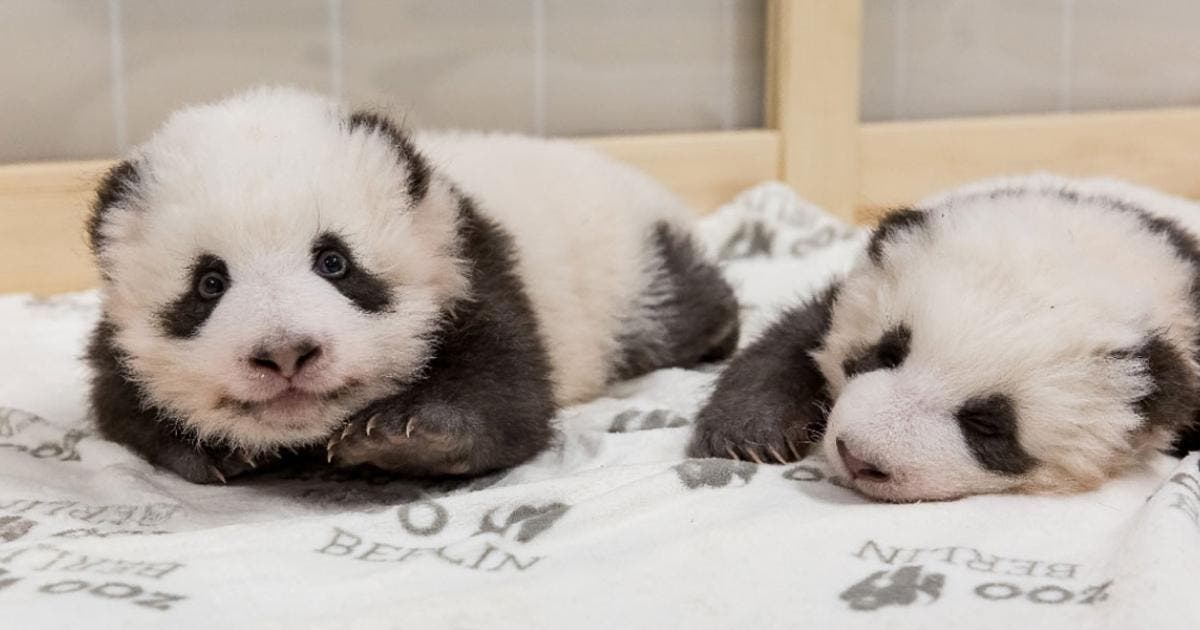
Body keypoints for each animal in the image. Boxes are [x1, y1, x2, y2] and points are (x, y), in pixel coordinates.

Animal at [88, 87, 739, 484]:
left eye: (334, 262)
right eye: (209, 283)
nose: (286, 354)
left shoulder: (466, 263)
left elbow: (511, 396)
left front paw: (407, 436)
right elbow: (118, 399)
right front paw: (215, 445)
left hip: (636, 275)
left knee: (686, 310)